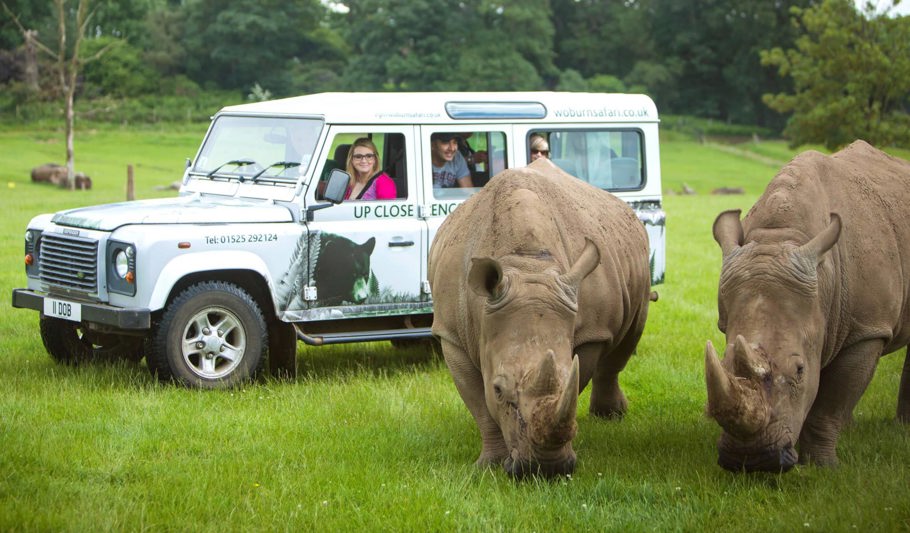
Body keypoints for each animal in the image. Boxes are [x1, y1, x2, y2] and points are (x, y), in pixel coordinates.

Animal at [429, 158, 652, 478]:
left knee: (629, 336)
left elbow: (573, 382)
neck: (527, 265)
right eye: (498, 389)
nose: (547, 469)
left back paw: (610, 417)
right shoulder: (451, 335)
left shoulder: (590, 332)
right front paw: (490, 465)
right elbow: (480, 406)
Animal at [706, 140, 910, 473]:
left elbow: (829, 404)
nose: (750, 461)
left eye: (799, 369)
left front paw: (822, 468)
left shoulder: (867, 329)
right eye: (723, 362)